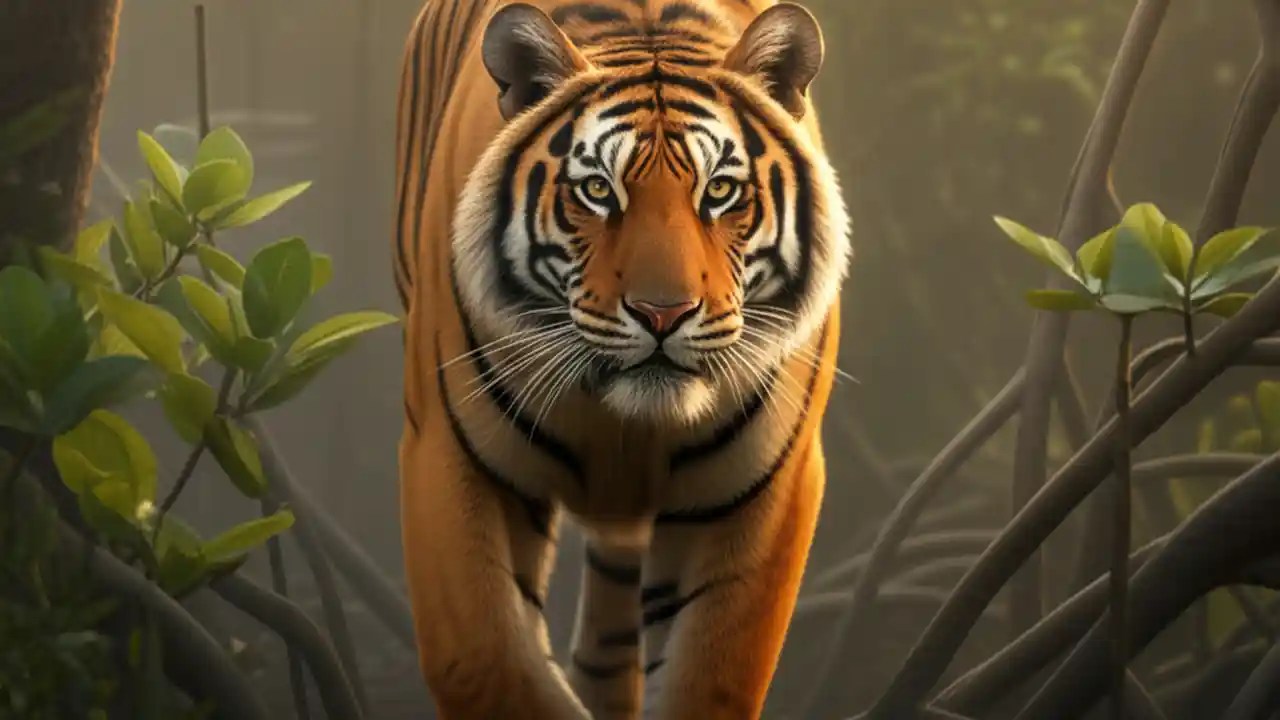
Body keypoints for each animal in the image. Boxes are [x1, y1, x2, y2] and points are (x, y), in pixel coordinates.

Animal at [393, 0, 850, 717]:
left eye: (720, 190)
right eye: (597, 191)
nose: (663, 314)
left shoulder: (766, 486)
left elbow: (708, 680)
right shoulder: (446, 453)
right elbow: (489, 665)